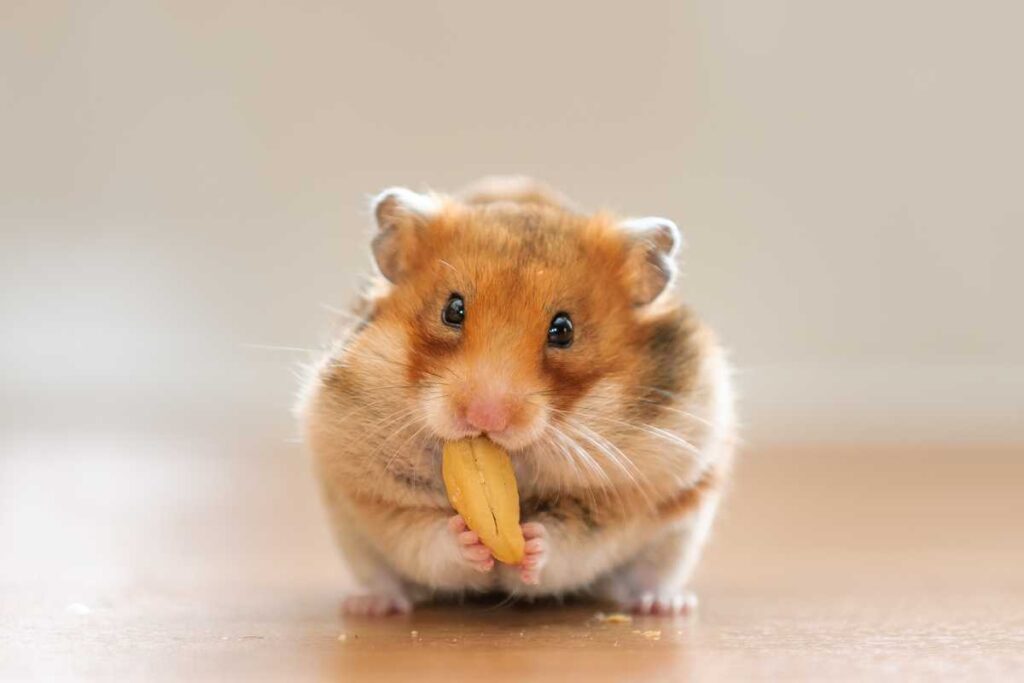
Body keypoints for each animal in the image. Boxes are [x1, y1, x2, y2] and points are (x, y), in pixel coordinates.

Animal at [298, 177, 736, 616]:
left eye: (564, 330)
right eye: (452, 310)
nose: (485, 418)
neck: (518, 464)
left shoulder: (625, 498)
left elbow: (572, 540)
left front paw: (532, 543)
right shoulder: (373, 492)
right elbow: (425, 535)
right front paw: (467, 538)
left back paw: (665, 605)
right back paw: (370, 606)